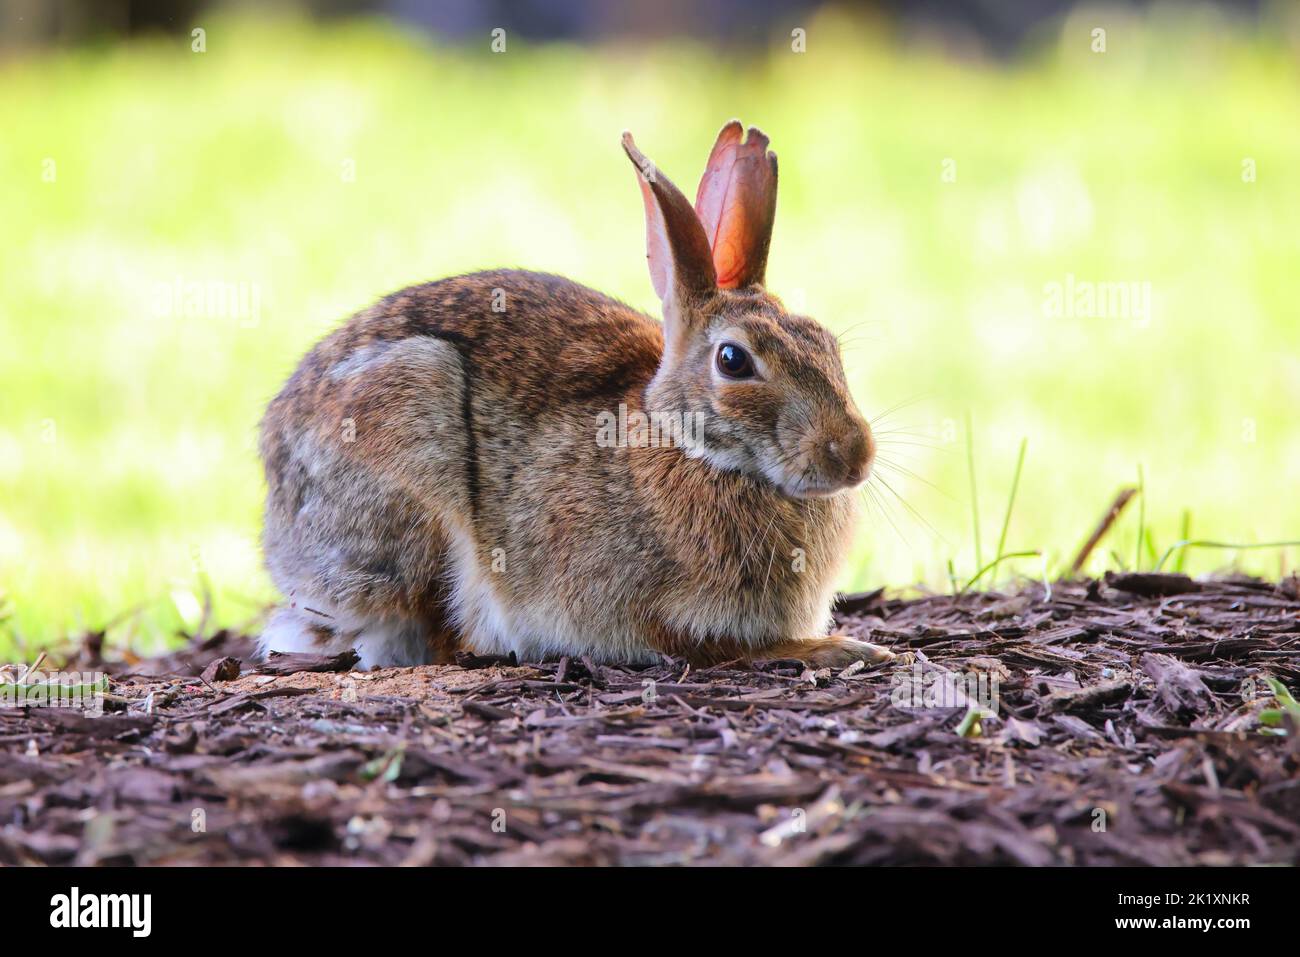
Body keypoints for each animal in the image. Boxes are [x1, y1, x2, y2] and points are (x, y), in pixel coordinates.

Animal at [257, 120, 894, 670]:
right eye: (734, 361)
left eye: (826, 342)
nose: (854, 455)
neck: (687, 447)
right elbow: (716, 647)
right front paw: (839, 648)